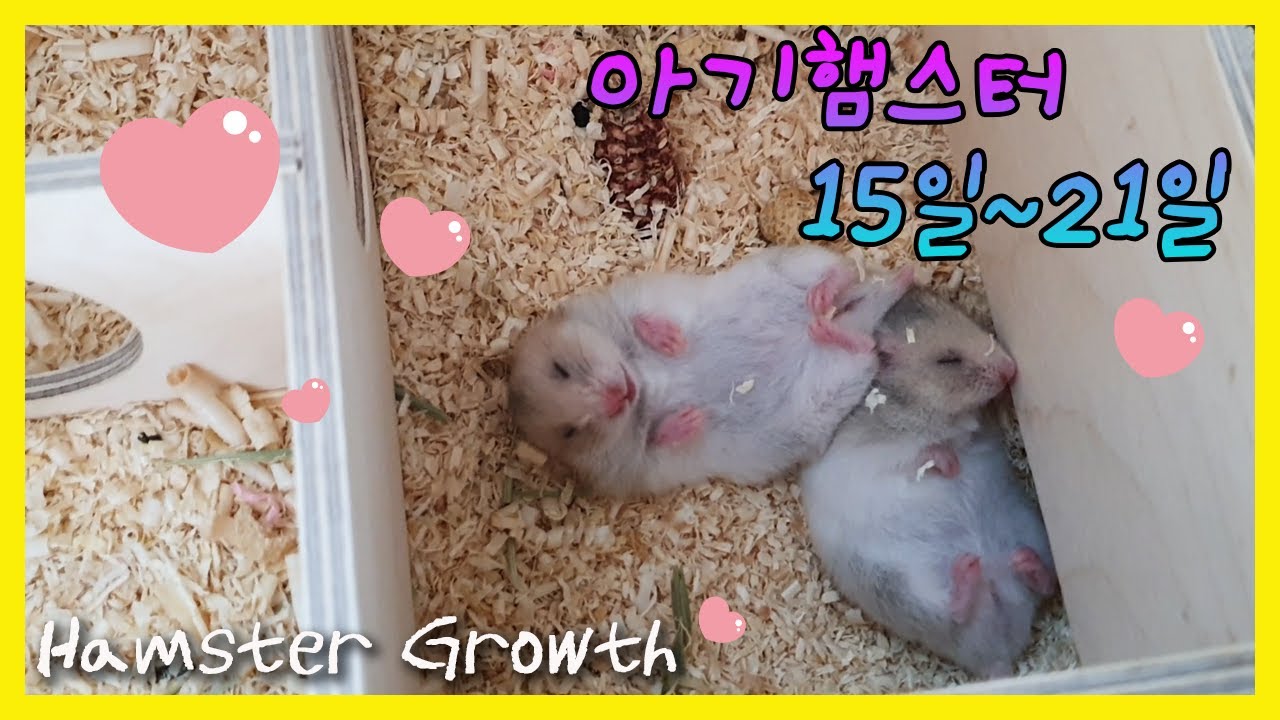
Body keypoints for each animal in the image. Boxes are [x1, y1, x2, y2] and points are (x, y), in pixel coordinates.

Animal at [507, 244, 916, 498]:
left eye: (561, 369)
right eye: (570, 432)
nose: (619, 396)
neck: (642, 377)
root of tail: (854, 316)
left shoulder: (630, 299)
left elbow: (643, 318)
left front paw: (670, 341)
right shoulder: (637, 467)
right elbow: (656, 440)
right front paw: (690, 419)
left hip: (791, 264)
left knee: (841, 270)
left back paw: (823, 298)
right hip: (834, 383)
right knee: (865, 348)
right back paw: (833, 325)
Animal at [799, 287, 1058, 680]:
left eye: (971, 321)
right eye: (947, 360)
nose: (1011, 369)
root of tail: (998, 654)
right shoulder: (865, 457)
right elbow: (922, 456)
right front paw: (950, 463)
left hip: (1030, 527)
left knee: (1045, 582)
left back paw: (1022, 562)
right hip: (900, 587)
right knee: (951, 614)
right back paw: (969, 572)